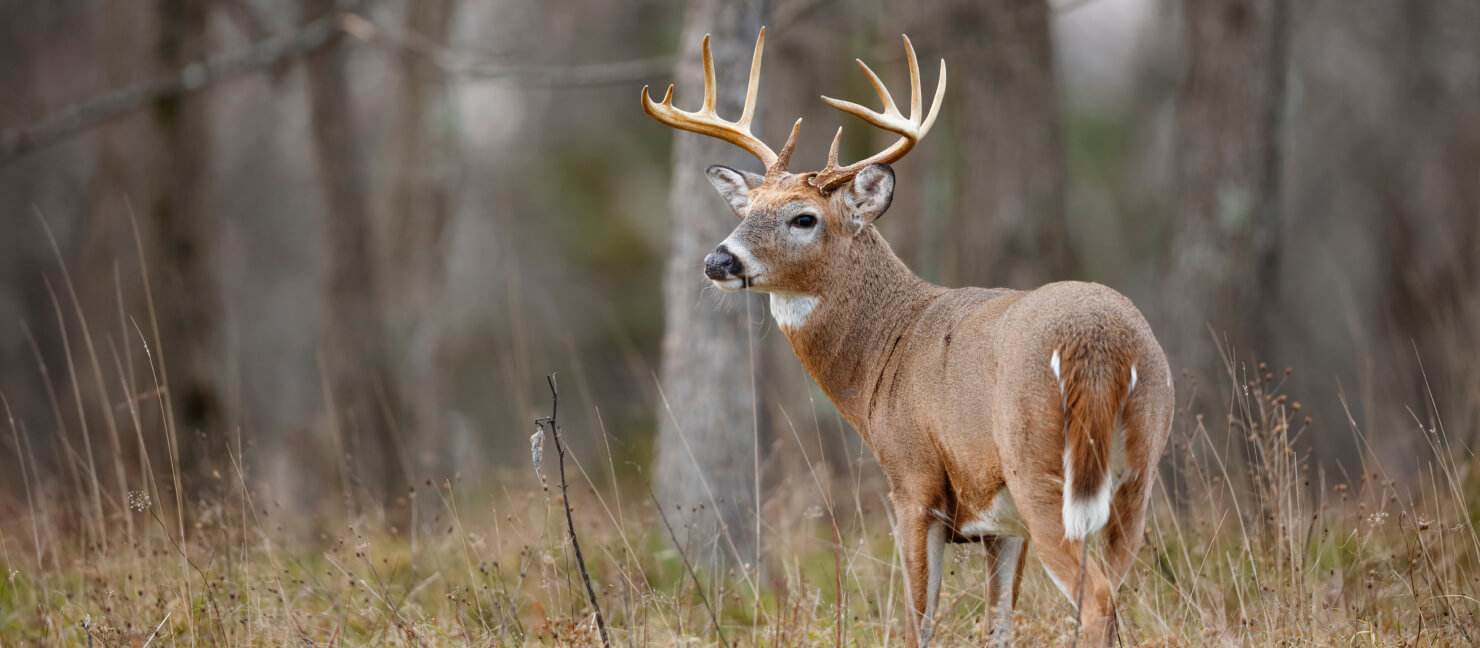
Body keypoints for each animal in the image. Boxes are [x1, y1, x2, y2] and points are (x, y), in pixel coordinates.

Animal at [642, 29, 1174, 648]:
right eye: (747, 209)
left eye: (804, 218)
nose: (717, 260)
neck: (885, 352)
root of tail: (1101, 345)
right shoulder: (1001, 520)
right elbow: (998, 624)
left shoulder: (913, 478)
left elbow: (919, 618)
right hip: (1136, 476)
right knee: (1114, 591)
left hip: (1041, 467)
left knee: (1095, 601)